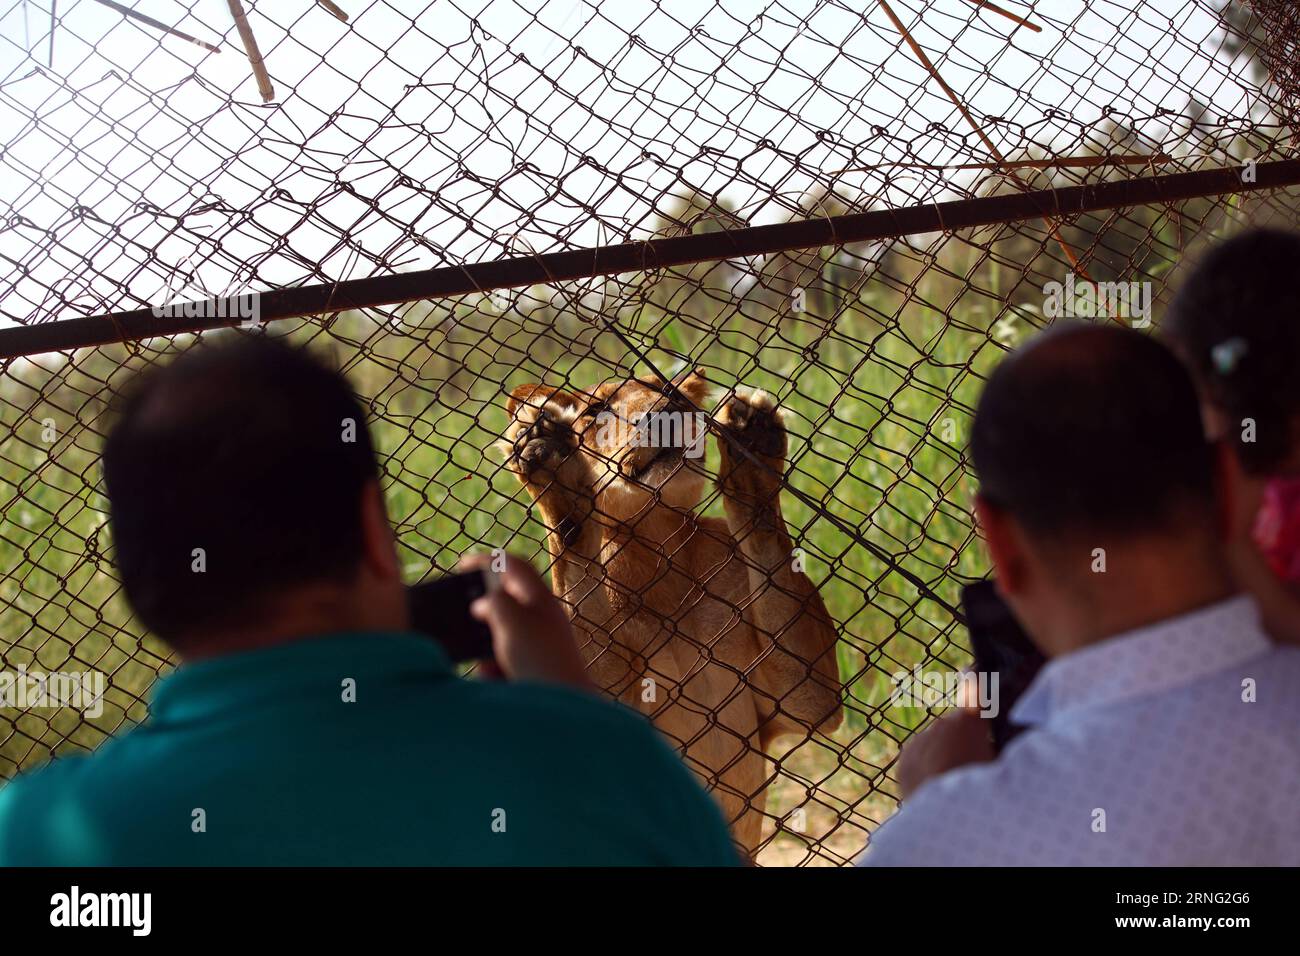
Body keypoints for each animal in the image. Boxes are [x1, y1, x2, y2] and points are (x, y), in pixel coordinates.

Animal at [499, 368, 843, 855]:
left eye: (671, 393)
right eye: (596, 409)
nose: (663, 413)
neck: (658, 556)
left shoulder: (802, 703)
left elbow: (766, 539)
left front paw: (752, 441)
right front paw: (553, 466)